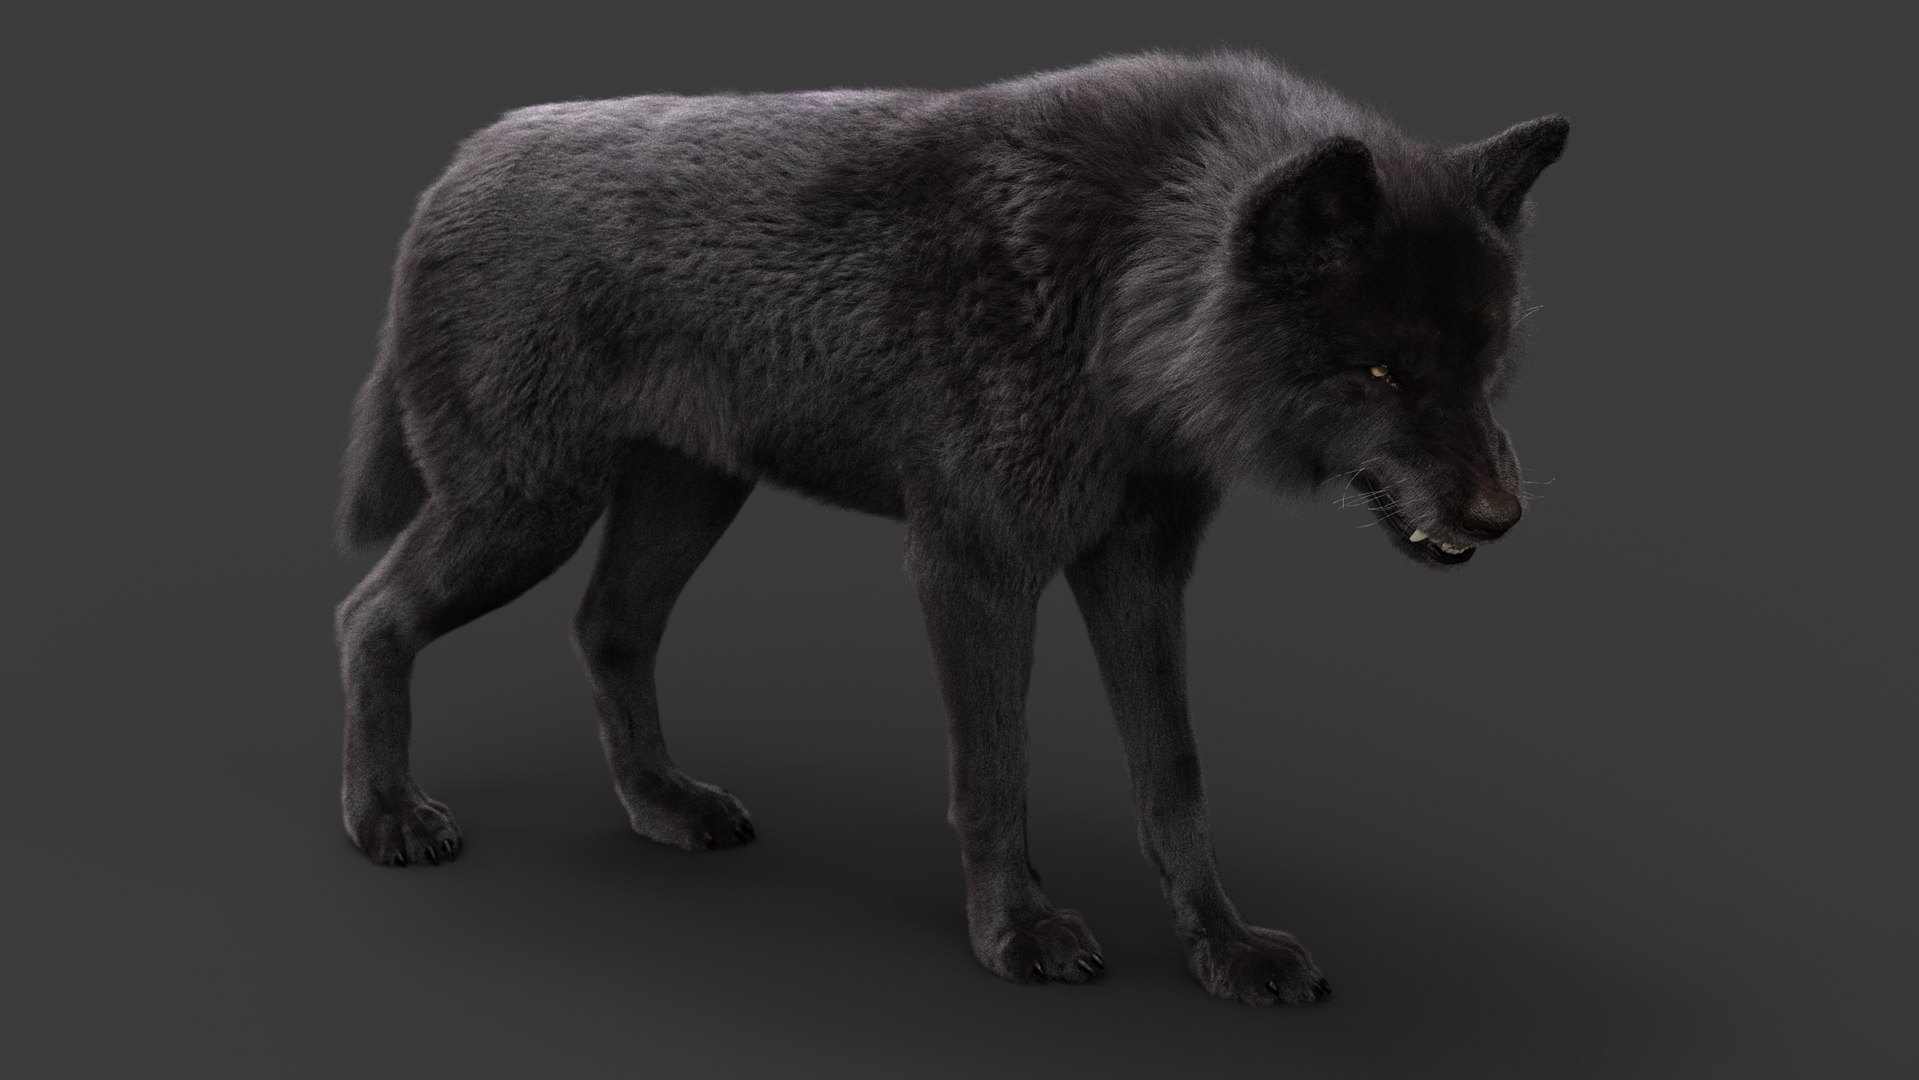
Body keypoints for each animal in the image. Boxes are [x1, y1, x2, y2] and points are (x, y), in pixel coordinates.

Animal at [333, 50, 1567, 1005]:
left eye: (1485, 362)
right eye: (1379, 372)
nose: (1501, 516)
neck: (1124, 294)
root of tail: (459, 162)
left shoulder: (1137, 569)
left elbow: (1172, 775)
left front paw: (1222, 947)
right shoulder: (971, 563)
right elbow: (993, 769)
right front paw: (1017, 933)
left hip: (682, 501)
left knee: (605, 628)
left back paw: (663, 808)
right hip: (525, 509)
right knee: (369, 613)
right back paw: (385, 819)